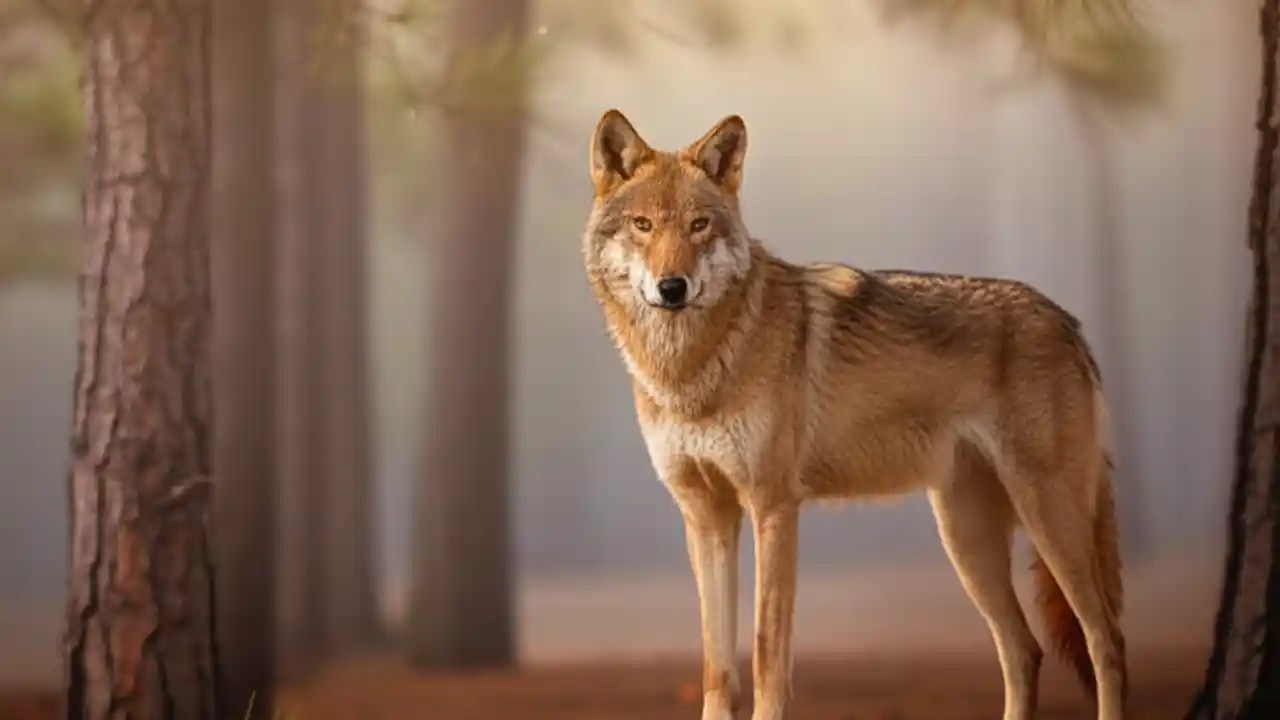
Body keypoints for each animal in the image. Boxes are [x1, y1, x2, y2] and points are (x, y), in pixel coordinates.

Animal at [580, 110, 1126, 720]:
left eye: (698, 226)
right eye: (644, 225)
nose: (673, 287)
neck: (694, 367)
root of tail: (1069, 323)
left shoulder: (773, 507)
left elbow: (767, 653)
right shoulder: (705, 516)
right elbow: (716, 666)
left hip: (1049, 522)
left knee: (1104, 641)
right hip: (966, 538)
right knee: (1023, 648)